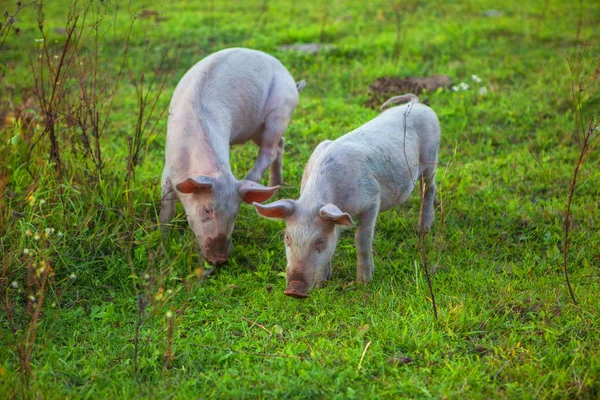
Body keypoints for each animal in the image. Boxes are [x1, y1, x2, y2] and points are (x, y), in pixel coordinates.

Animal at [159, 47, 308, 266]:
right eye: (207, 210)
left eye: (235, 214)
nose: (220, 258)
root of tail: (293, 82)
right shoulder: (167, 170)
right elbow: (166, 210)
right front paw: (161, 241)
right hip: (257, 127)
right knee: (280, 144)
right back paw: (276, 184)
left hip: (280, 112)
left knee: (269, 150)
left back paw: (254, 180)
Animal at [253, 95, 440, 298]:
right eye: (287, 238)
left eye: (320, 240)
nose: (293, 290)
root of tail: (417, 103)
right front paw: (320, 285)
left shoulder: (372, 199)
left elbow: (362, 238)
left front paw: (363, 283)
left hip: (431, 158)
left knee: (429, 188)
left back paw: (423, 229)